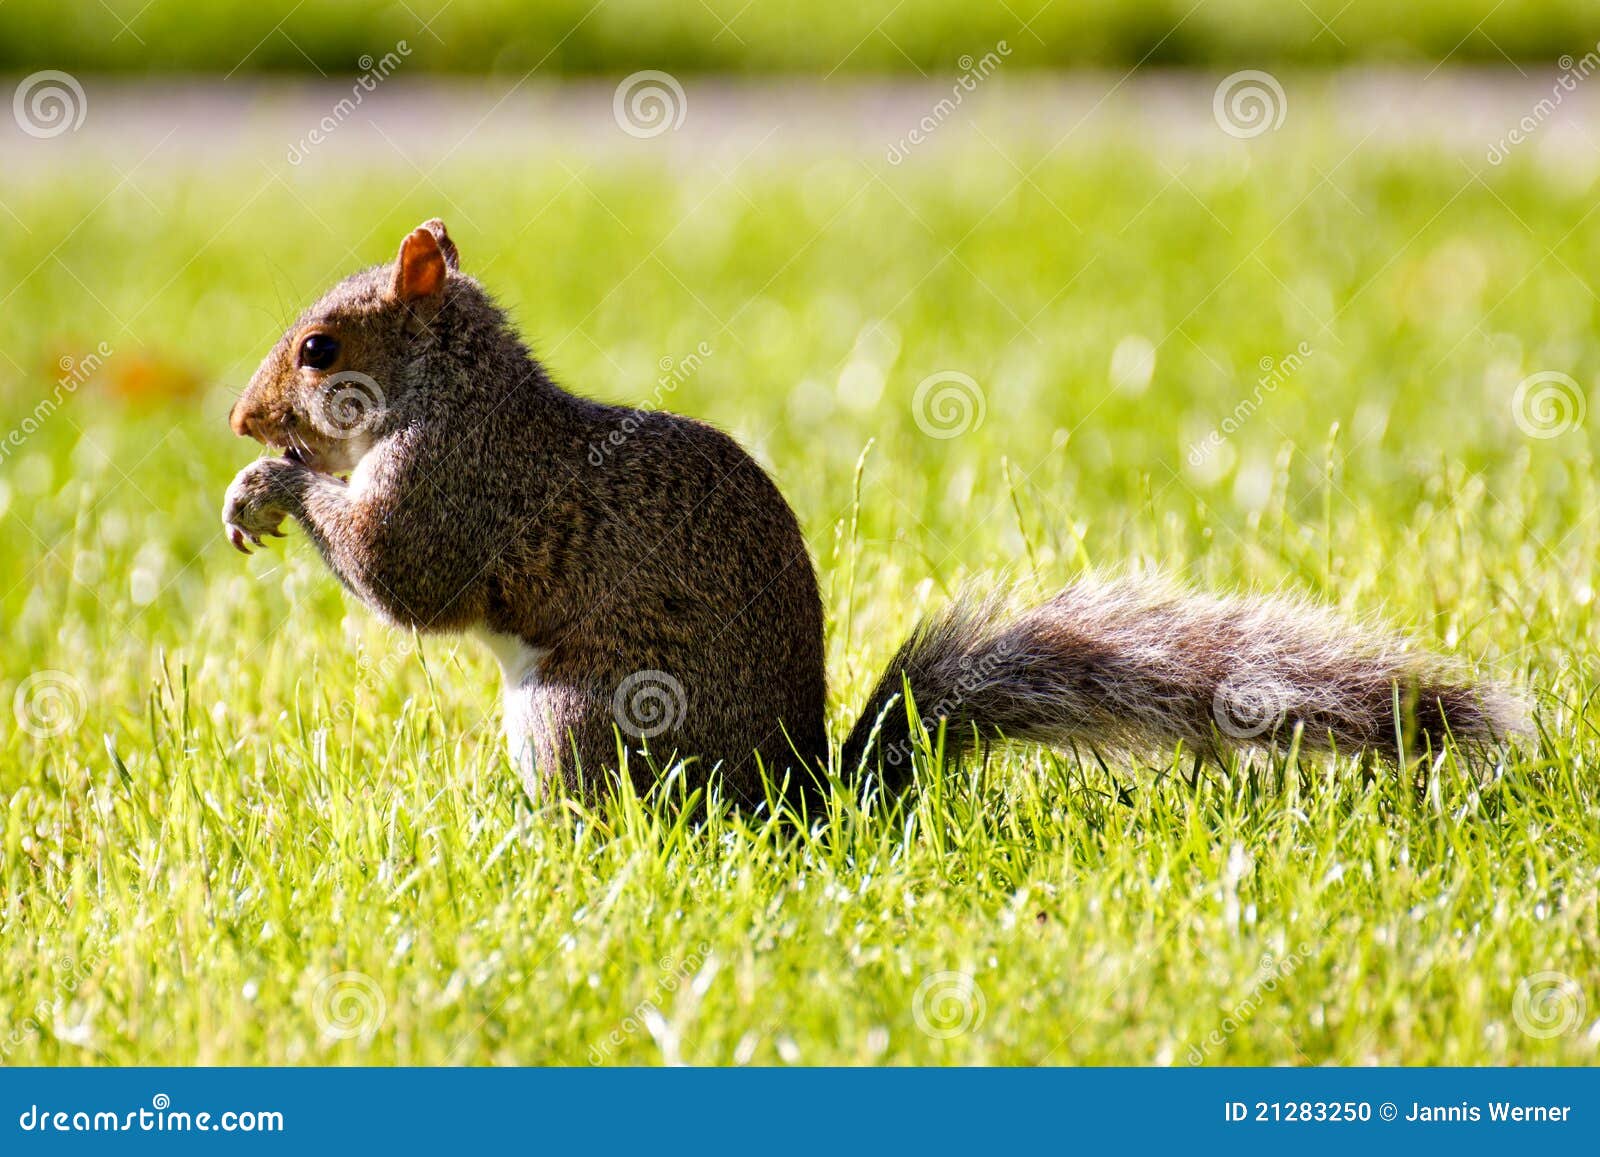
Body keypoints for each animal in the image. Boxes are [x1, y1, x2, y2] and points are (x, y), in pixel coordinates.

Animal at [223, 218, 1524, 810]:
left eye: (319, 348)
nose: (241, 421)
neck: (452, 392)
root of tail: (799, 794)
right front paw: (251, 488)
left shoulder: (456, 486)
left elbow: (405, 577)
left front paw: (280, 486)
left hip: (576, 714)